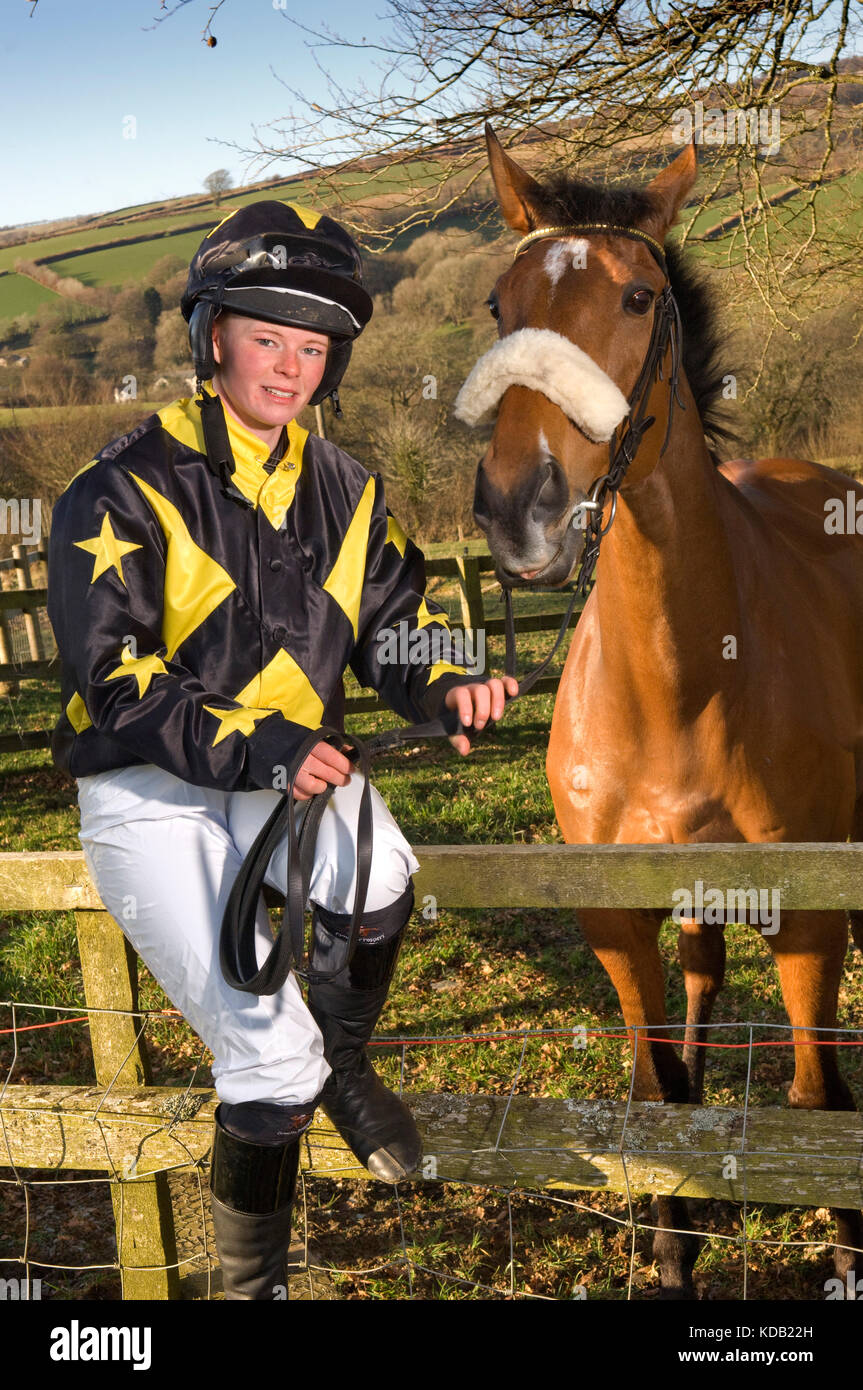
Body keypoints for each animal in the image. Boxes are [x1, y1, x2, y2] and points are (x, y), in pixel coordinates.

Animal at [457, 124, 863, 1298]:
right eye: (500, 305)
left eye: (637, 299)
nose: (519, 507)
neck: (681, 681)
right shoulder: (617, 920)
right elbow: (657, 1092)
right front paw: (676, 1254)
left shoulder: (810, 919)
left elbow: (815, 1105)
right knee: (698, 996)